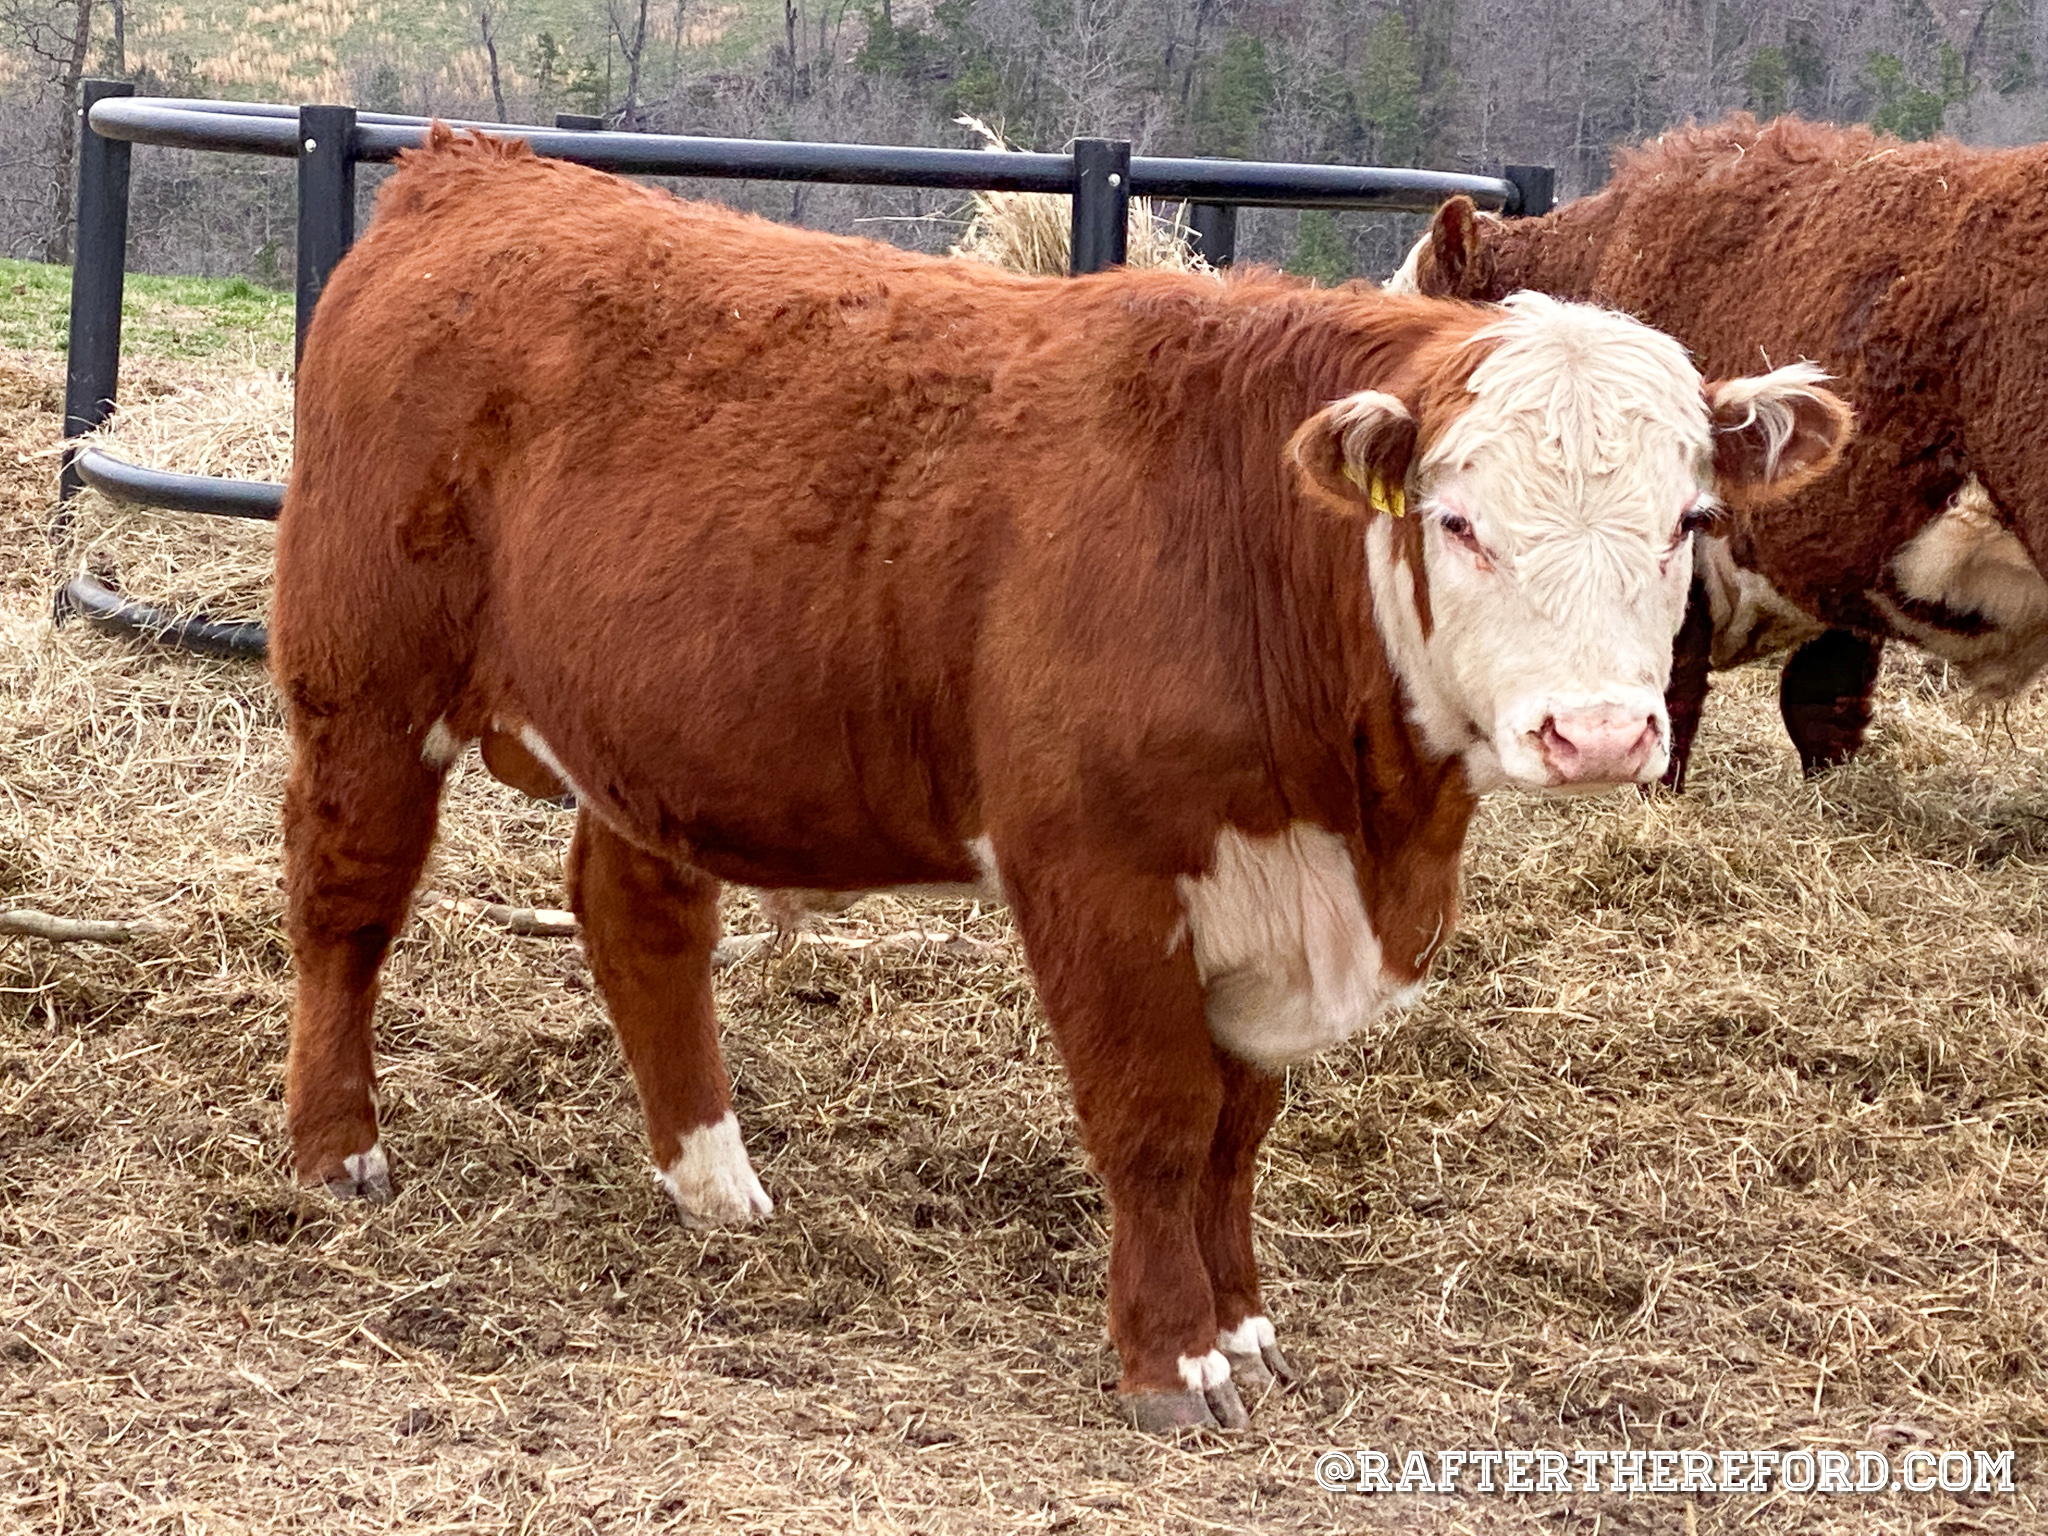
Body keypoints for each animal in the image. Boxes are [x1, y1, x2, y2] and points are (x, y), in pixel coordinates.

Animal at [271, 126, 1849, 1432]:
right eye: (1458, 523)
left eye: (1687, 516)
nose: (1598, 732)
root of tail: (476, 166)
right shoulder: (1097, 871)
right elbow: (1155, 1122)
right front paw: (1175, 1360)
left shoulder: (1264, 896)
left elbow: (1236, 1134)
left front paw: (1245, 1323)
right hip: (365, 688)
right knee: (346, 906)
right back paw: (336, 1149)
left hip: (655, 732)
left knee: (636, 915)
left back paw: (713, 1184)